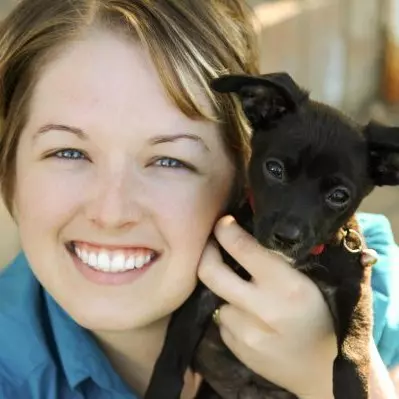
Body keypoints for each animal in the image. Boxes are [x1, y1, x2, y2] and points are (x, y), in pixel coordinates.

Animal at [145, 72, 399, 399]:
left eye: (339, 196)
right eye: (274, 169)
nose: (286, 238)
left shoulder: (352, 288)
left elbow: (352, 351)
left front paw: (354, 388)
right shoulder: (202, 293)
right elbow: (172, 353)